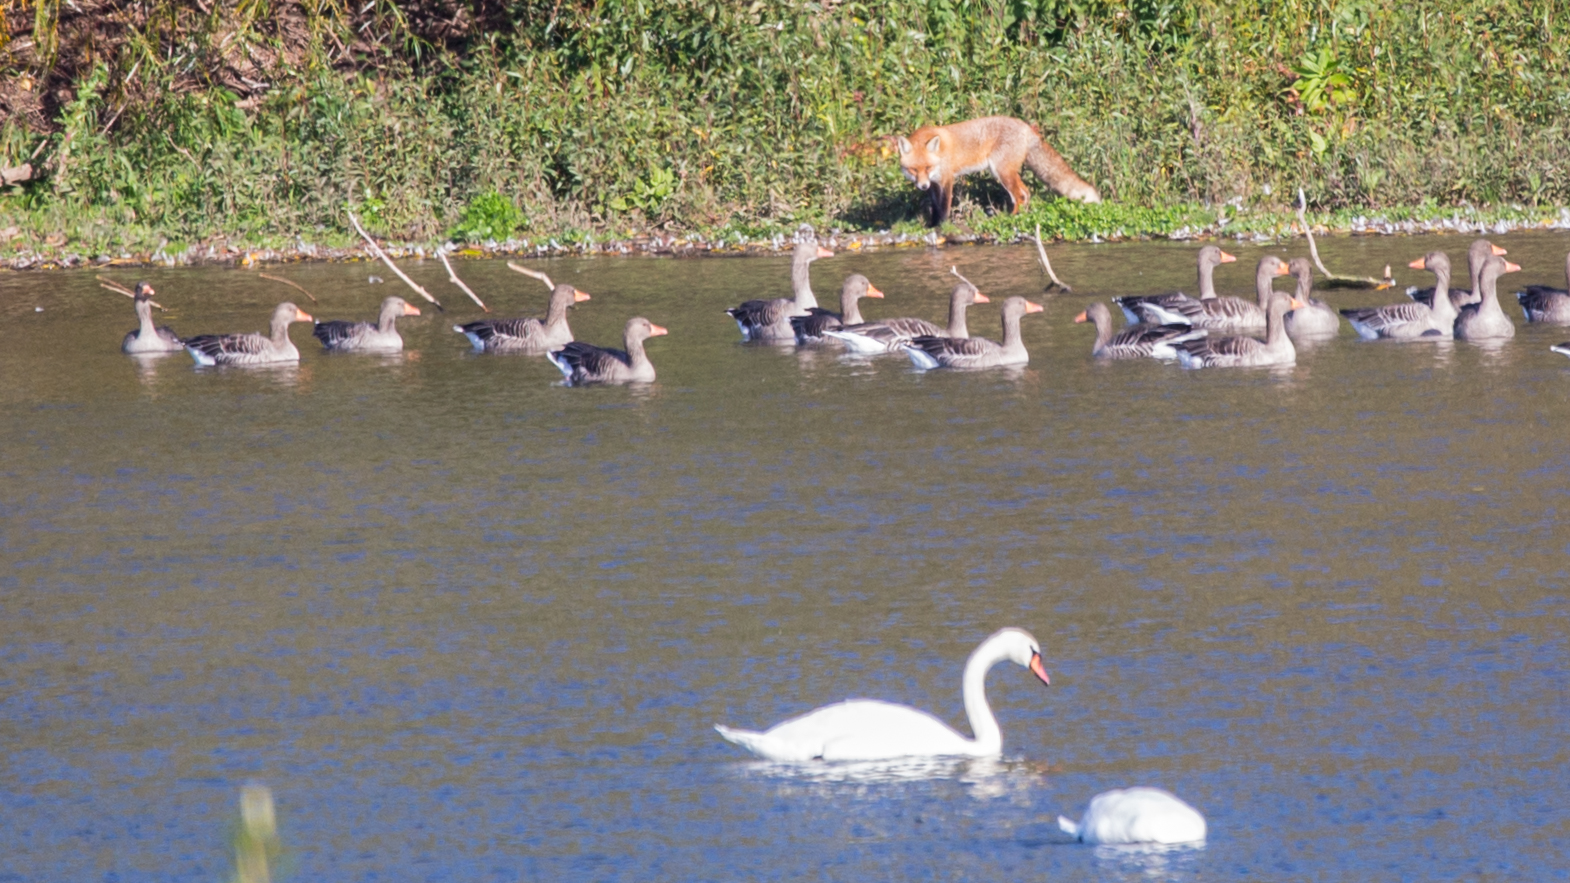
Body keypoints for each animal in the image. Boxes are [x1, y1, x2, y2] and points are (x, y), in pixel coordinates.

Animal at [897, 116, 1101, 226]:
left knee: (1019, 195)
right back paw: (1023, 216)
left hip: (1001, 172)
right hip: (1005, 172)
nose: (922, 186)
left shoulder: (947, 179)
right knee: (1027, 193)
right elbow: (935, 207)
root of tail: (1025, 126)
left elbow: (944, 207)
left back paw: (1012, 218)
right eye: (913, 169)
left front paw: (942, 226)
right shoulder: (934, 184)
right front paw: (932, 226)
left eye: (928, 167)